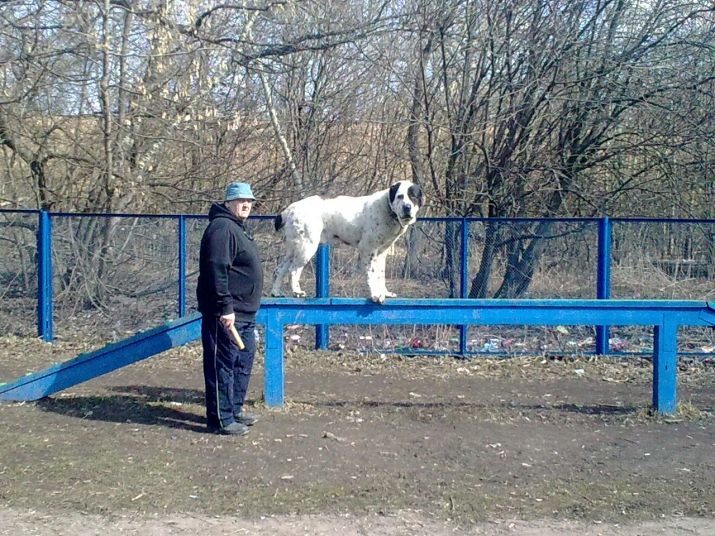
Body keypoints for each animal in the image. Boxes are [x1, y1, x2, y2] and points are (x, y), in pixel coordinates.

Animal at [272, 181, 422, 304]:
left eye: (413, 196)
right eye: (400, 196)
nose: (407, 207)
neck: (388, 208)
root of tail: (288, 210)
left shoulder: (381, 253)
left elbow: (380, 275)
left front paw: (384, 293)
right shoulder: (368, 250)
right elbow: (372, 275)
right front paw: (375, 295)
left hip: (294, 249)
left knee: (280, 269)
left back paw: (276, 293)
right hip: (307, 247)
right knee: (293, 270)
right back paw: (297, 292)